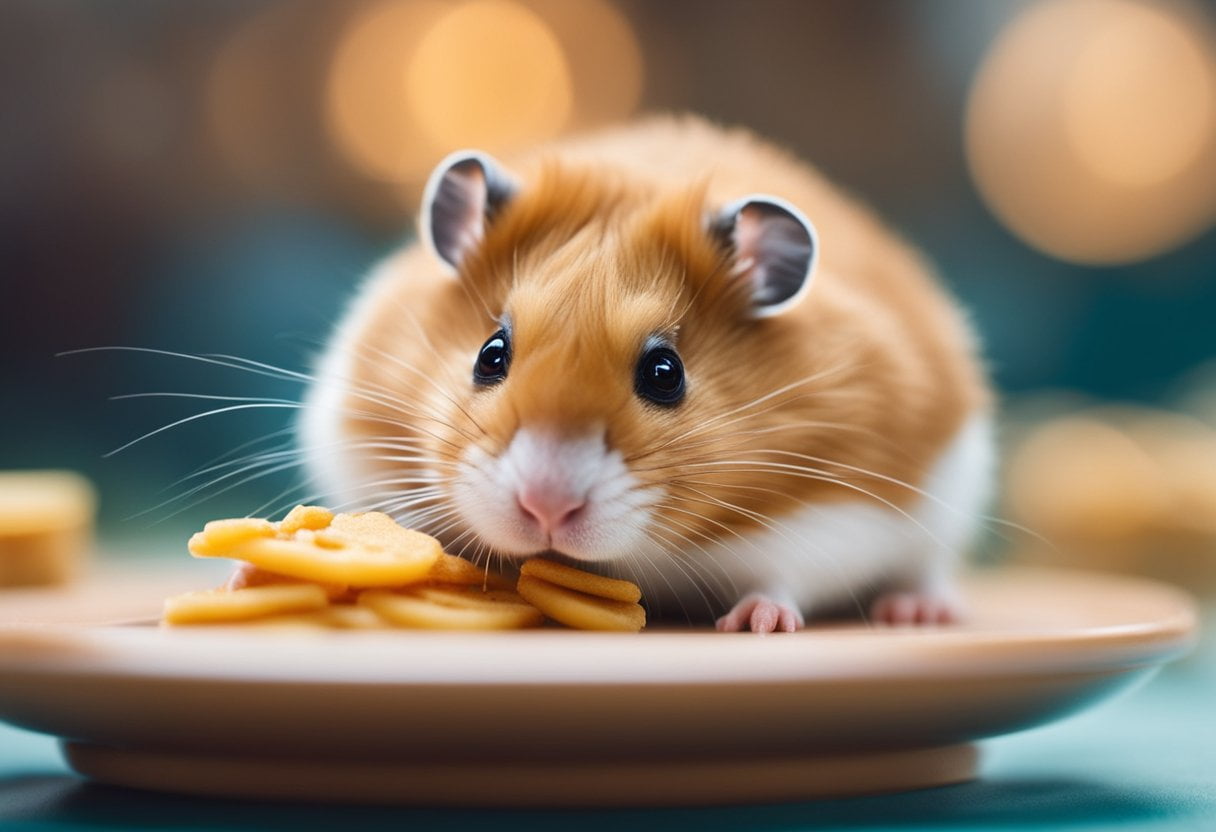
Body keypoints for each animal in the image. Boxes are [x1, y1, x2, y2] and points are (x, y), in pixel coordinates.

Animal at [300, 114, 994, 633]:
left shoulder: (838, 517)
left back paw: (918, 611)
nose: (545, 506)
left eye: (665, 373)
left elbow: (784, 579)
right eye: (490, 355)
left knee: (928, 567)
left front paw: (755, 623)